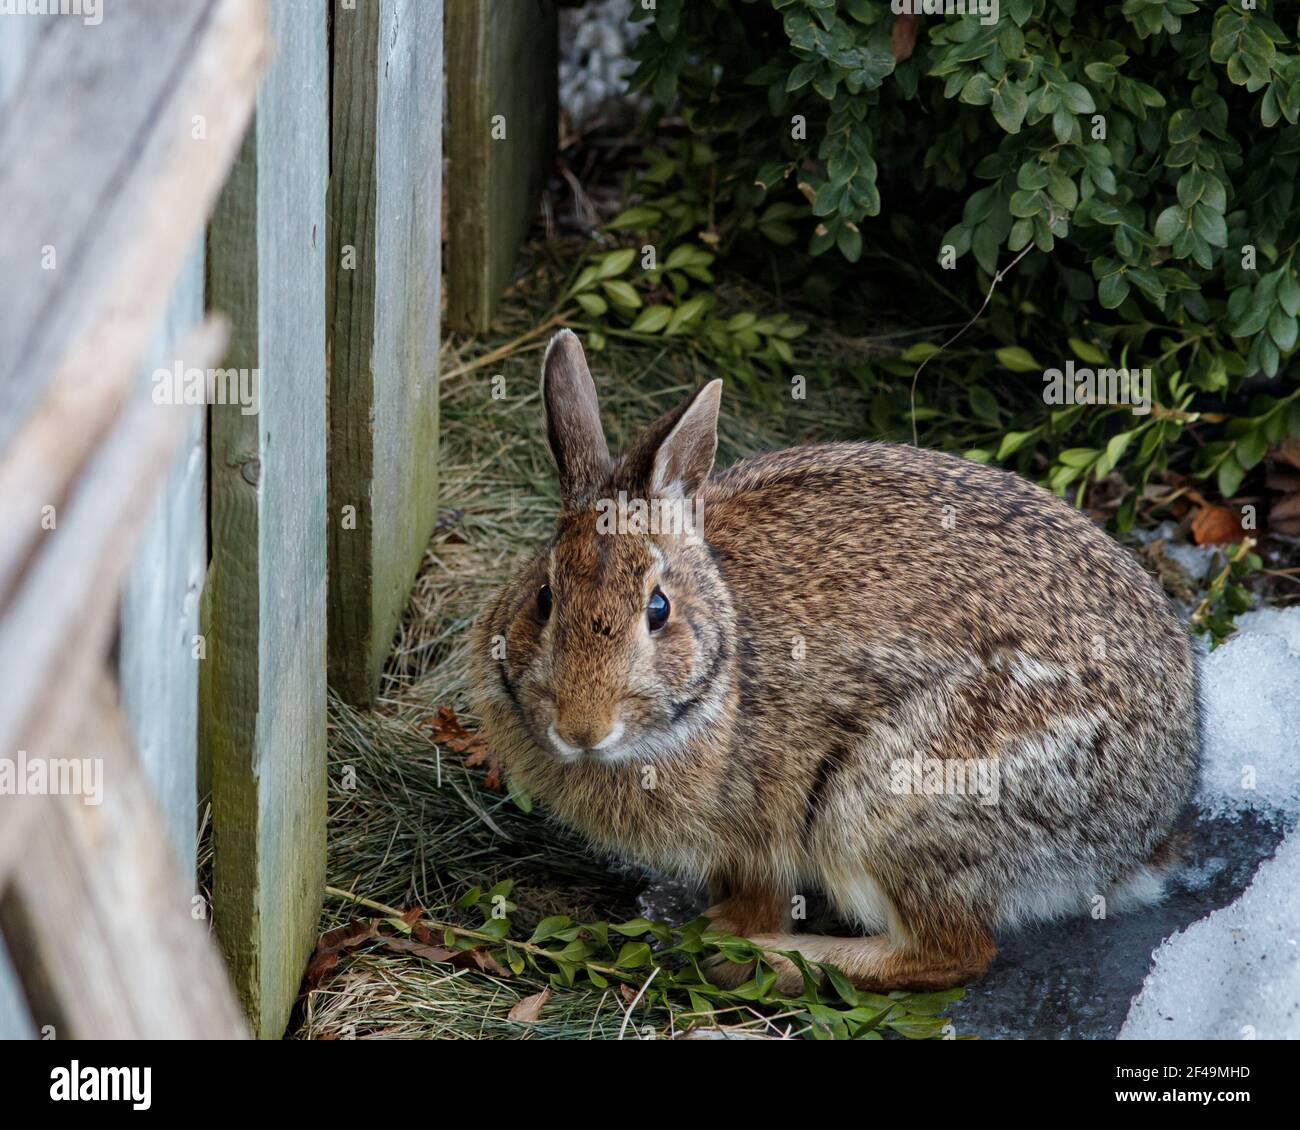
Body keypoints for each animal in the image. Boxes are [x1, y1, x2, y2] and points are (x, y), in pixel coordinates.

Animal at [472, 329, 1200, 994]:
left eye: (658, 609)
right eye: (543, 598)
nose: (581, 729)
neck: (723, 667)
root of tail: (1146, 836)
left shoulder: (760, 829)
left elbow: (759, 901)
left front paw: (725, 935)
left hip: (893, 803)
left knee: (952, 952)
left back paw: (768, 961)